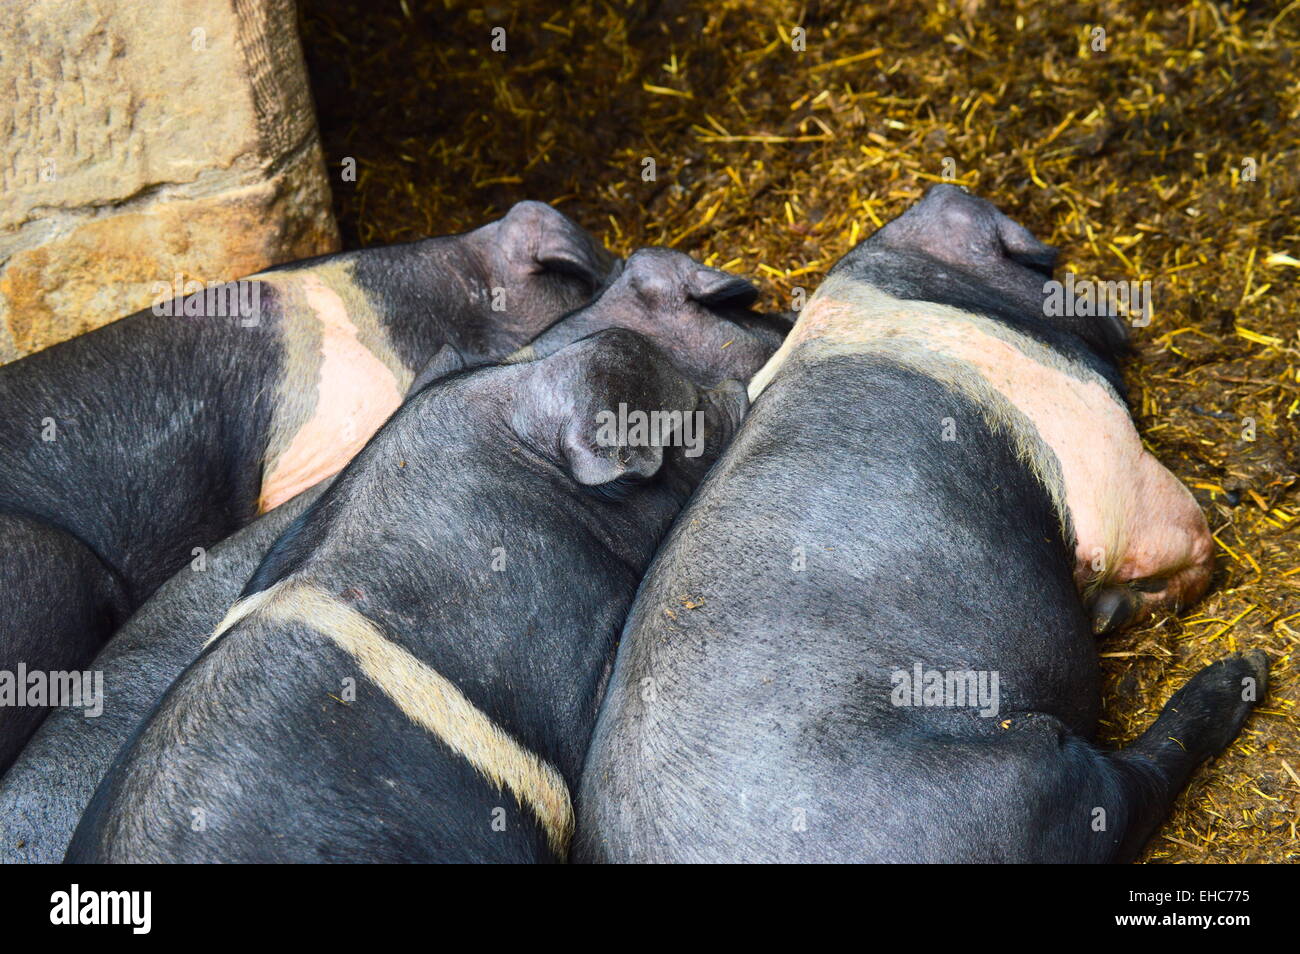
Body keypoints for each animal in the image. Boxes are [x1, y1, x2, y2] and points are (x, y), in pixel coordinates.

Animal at [575, 185, 1266, 863]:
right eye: (1050, 269)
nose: (1123, 313)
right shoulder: (1101, 451)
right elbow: (1184, 533)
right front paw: (1137, 600)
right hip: (1016, 791)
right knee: (1135, 786)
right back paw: (1241, 670)